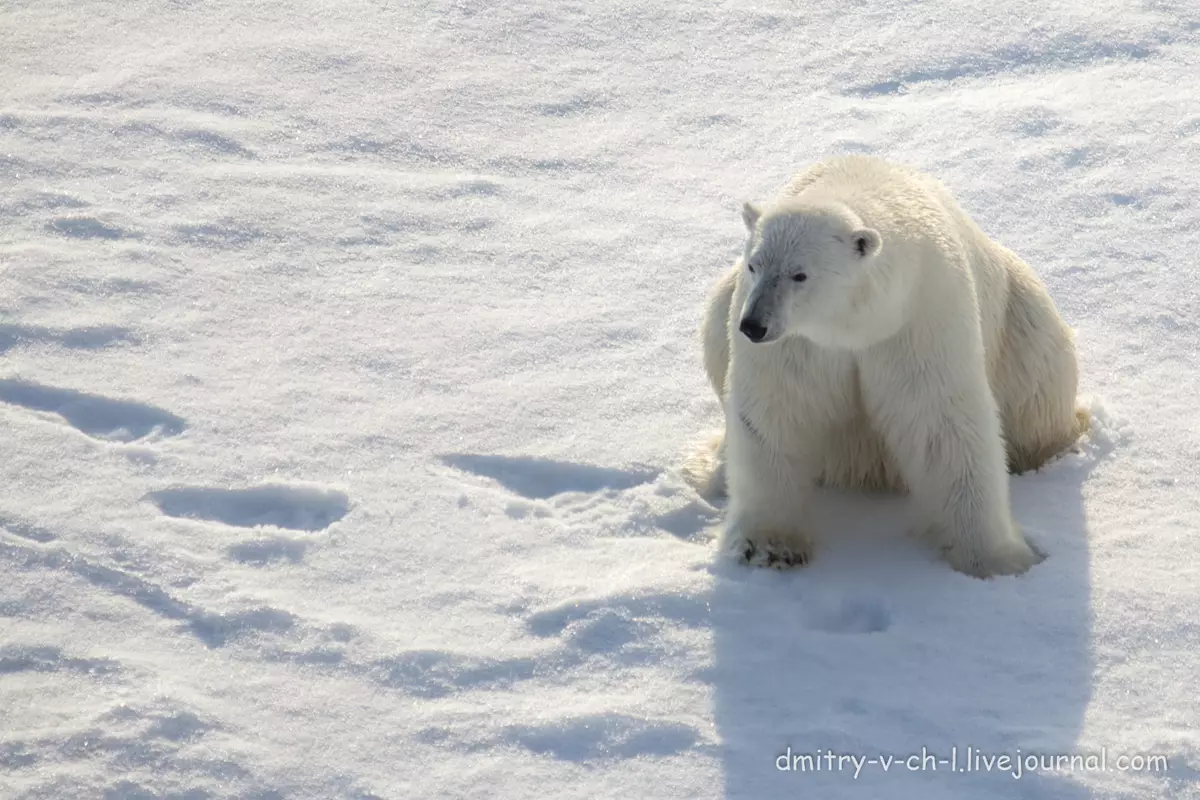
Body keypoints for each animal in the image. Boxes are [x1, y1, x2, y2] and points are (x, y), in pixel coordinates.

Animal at [686, 155, 1089, 578]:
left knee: (1039, 376)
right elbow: (776, 412)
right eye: (754, 265)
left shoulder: (916, 320)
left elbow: (940, 421)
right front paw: (768, 547)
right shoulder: (797, 344)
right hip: (723, 306)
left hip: (1020, 316)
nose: (754, 325)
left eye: (800, 274)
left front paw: (996, 561)